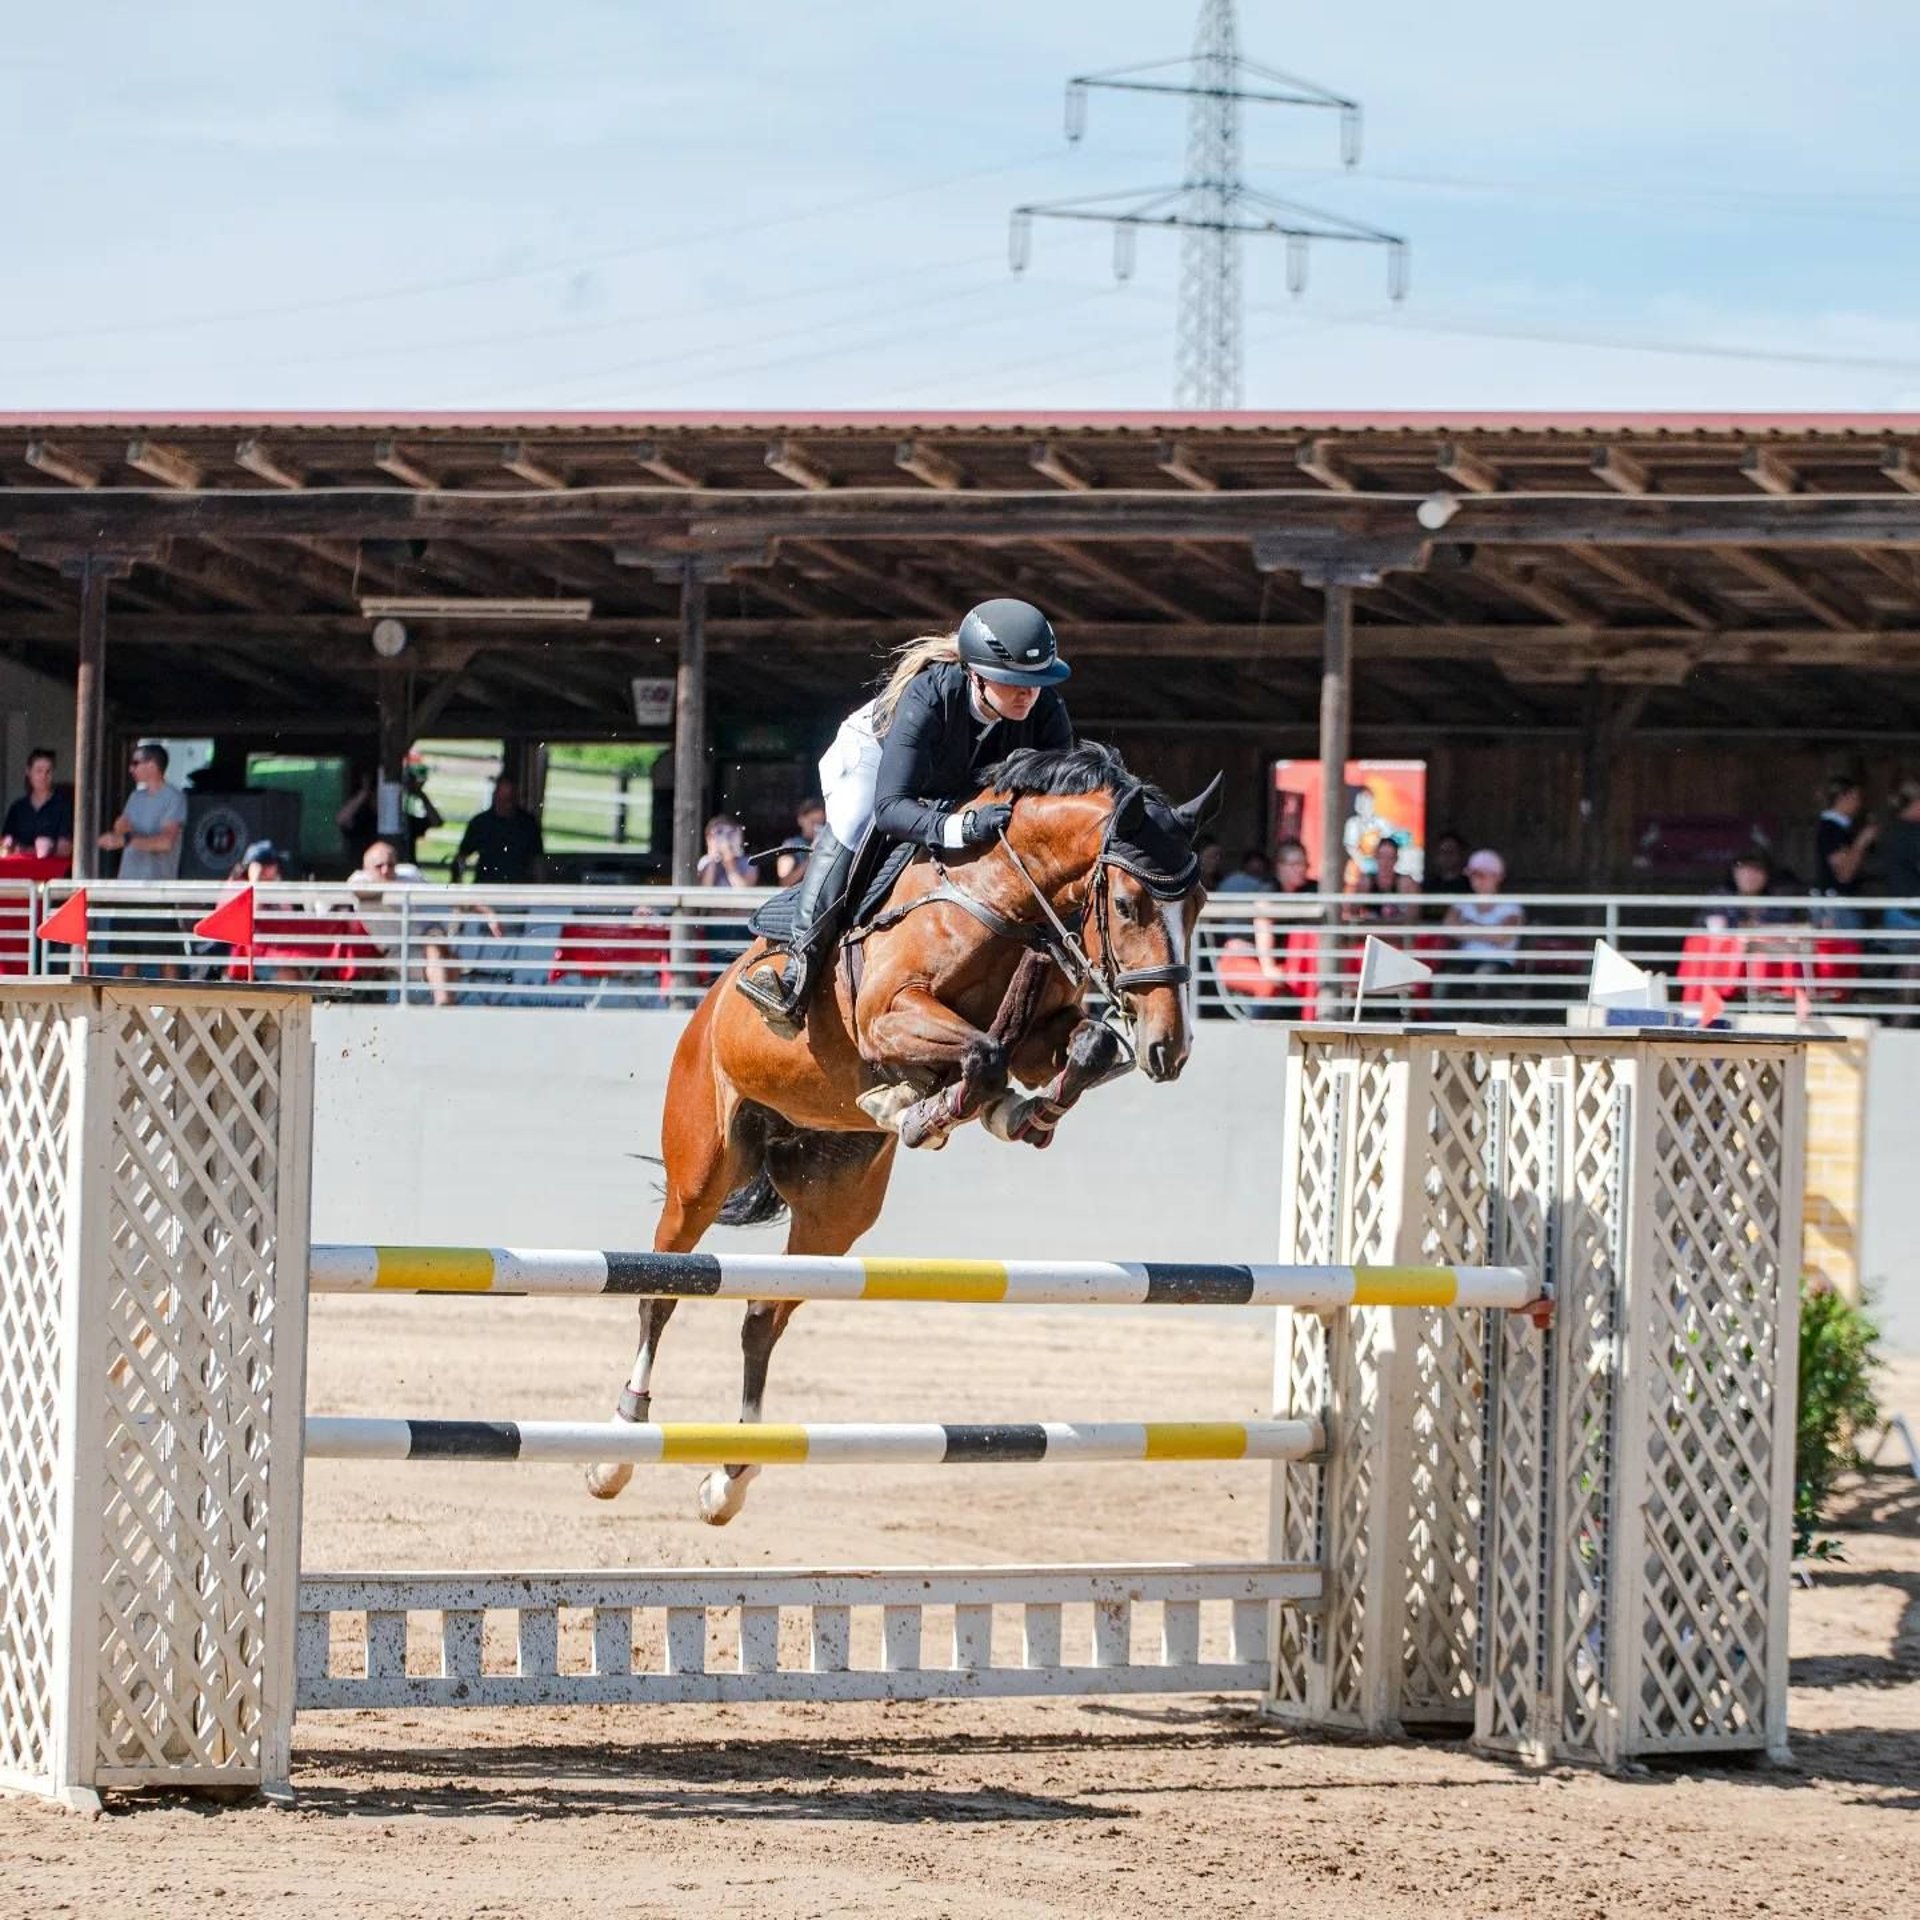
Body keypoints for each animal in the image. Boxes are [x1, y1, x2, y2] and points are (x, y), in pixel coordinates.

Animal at [587, 741, 1220, 1523]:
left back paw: (729, 1477)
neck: (1002, 896)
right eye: (1130, 904)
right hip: (701, 1172)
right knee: (661, 1293)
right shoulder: (889, 1015)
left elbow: (1079, 1047)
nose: (1170, 1049)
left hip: (834, 1217)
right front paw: (924, 1105)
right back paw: (618, 1447)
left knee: (763, 1315)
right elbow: (982, 1053)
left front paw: (1007, 1112)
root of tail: (703, 1011)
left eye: (1199, 905)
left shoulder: (1042, 1030)